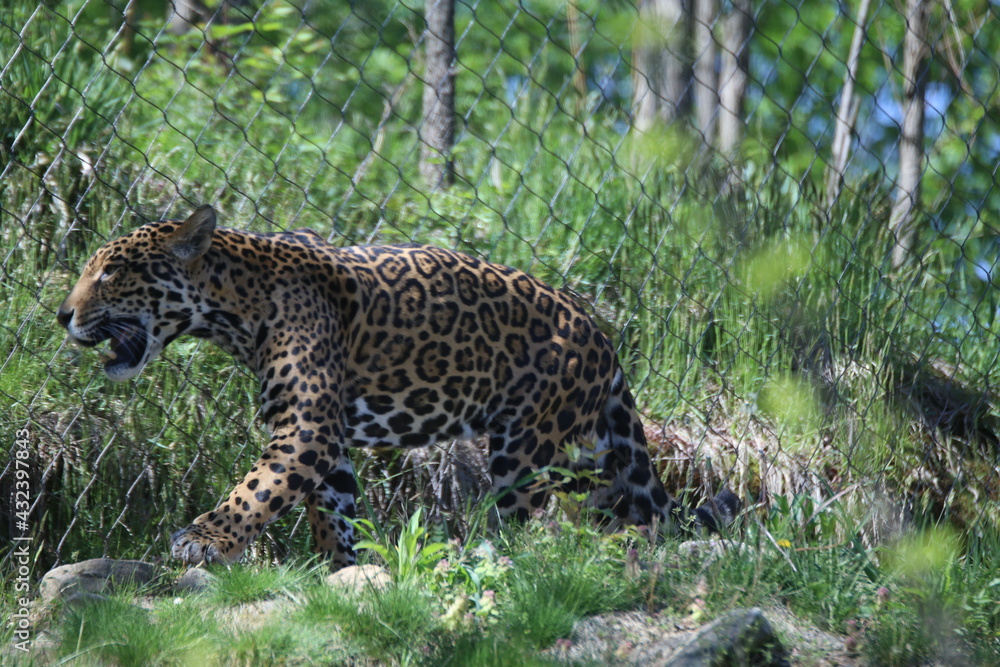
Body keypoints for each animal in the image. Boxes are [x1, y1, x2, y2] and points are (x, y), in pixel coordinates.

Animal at [58, 205, 739, 569]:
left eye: (111, 272)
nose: (63, 315)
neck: (233, 309)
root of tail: (600, 334)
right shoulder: (325, 440)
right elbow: (331, 513)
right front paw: (341, 571)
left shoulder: (305, 428)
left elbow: (256, 490)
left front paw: (205, 540)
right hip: (590, 452)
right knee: (622, 505)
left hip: (527, 450)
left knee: (529, 517)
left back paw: (499, 554)